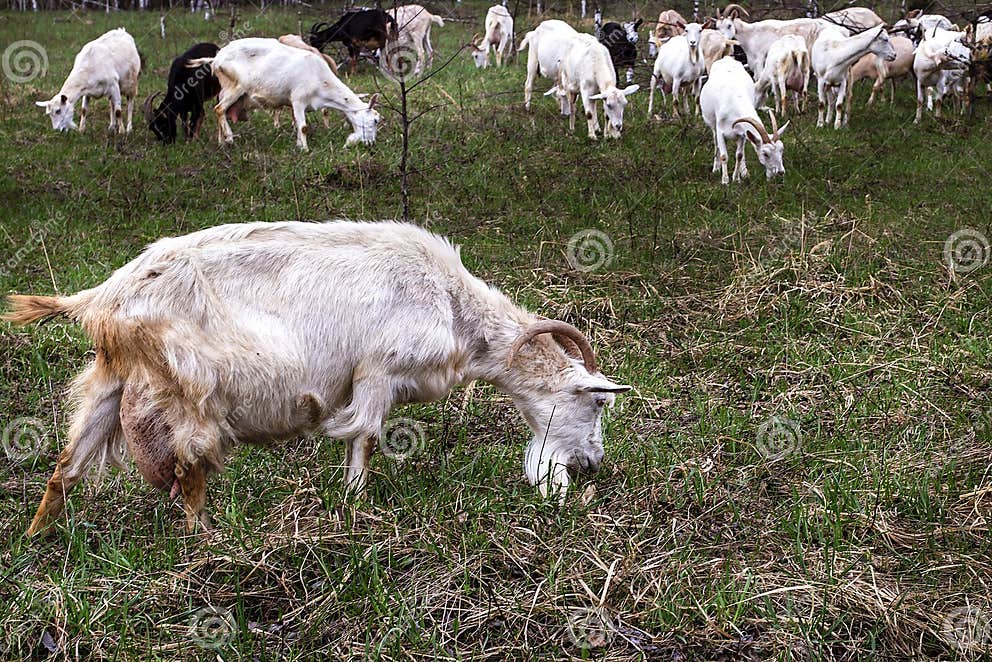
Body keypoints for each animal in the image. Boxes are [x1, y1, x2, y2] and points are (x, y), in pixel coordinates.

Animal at [6, 221, 631, 536]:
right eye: (598, 404)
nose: (593, 464)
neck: (455, 308)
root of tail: (103, 297)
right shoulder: (378, 370)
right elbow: (367, 438)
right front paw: (355, 503)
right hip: (191, 387)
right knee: (188, 470)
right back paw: (203, 544)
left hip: (111, 378)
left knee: (67, 464)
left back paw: (36, 538)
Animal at [188, 38, 380, 151]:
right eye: (375, 121)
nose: (371, 143)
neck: (321, 79)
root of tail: (216, 59)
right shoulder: (298, 99)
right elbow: (303, 126)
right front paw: (304, 149)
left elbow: (298, 124)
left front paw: (299, 144)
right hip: (234, 87)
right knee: (219, 109)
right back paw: (229, 138)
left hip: (226, 89)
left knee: (221, 111)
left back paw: (221, 142)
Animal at [700, 56, 787, 185]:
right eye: (765, 153)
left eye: (781, 149)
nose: (780, 172)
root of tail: (727, 58)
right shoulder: (720, 131)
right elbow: (724, 156)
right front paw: (725, 181)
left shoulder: (741, 133)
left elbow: (739, 155)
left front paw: (737, 178)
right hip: (712, 124)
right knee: (715, 142)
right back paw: (716, 168)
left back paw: (744, 172)